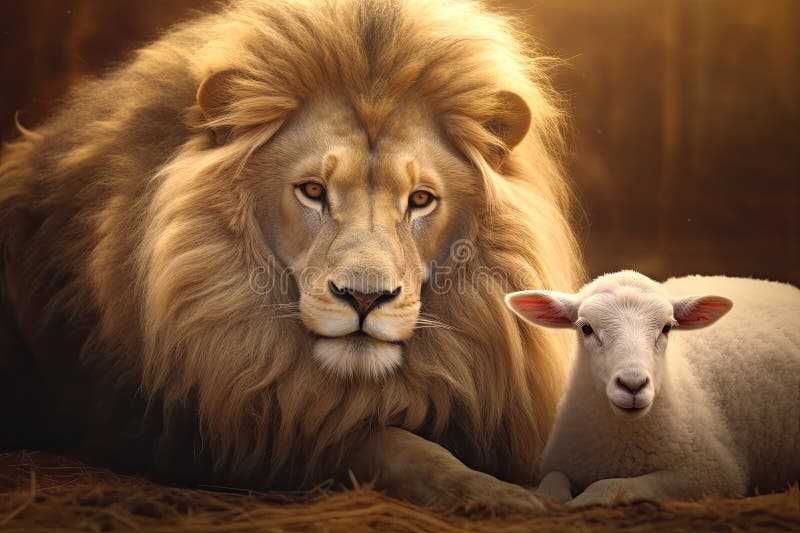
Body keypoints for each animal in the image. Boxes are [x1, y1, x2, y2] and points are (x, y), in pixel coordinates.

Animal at [0, 0, 582, 512]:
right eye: (312, 191)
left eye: (420, 200)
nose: (364, 298)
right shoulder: (217, 425)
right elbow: (381, 442)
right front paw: (496, 493)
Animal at [505, 270, 800, 506]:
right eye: (586, 328)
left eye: (667, 328)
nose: (633, 384)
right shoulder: (561, 462)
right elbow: (551, 483)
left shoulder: (709, 474)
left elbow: (612, 486)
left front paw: (580, 503)